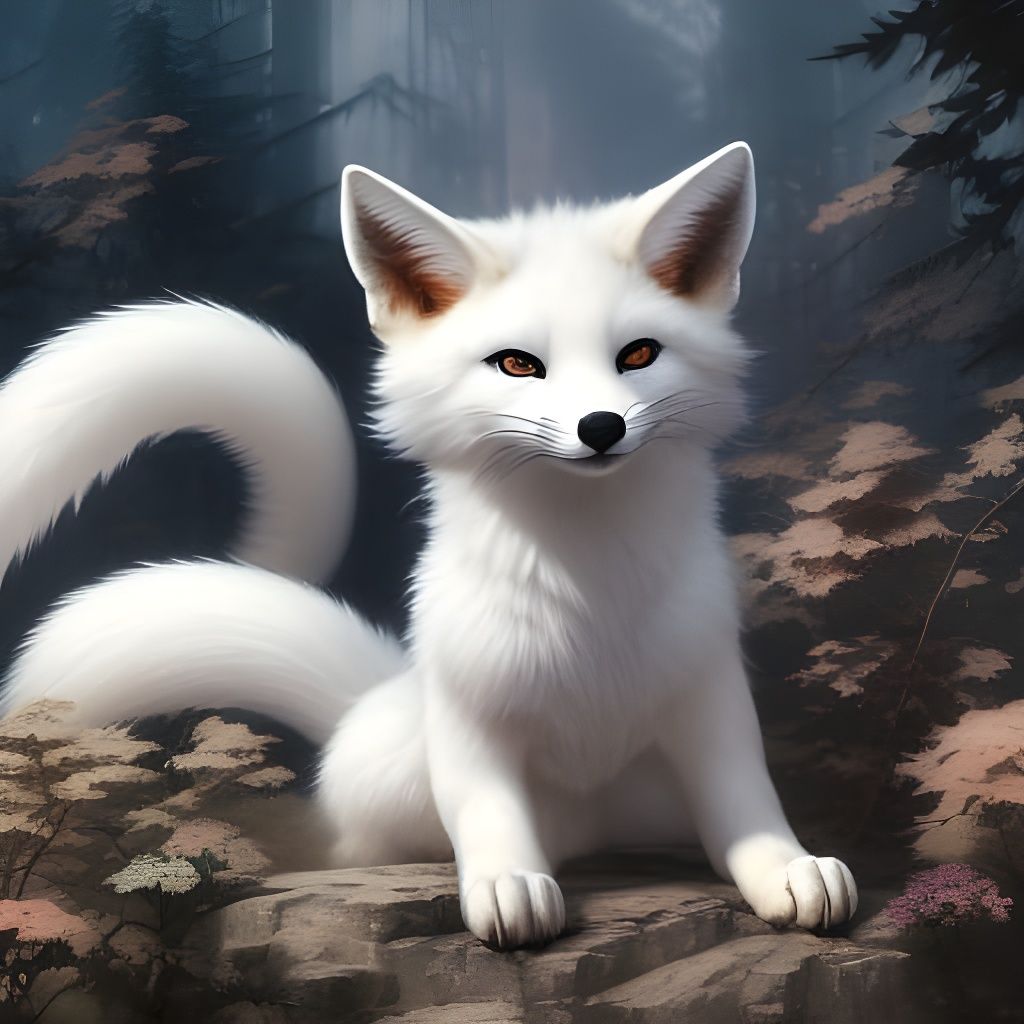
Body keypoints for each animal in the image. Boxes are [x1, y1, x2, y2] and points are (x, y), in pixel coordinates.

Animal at [0, 142, 856, 950]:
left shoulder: (709, 696)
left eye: (639, 354)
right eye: (518, 363)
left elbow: (746, 801)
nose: (601, 426)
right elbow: (485, 807)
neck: (592, 593)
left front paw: (789, 869)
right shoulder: (472, 714)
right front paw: (510, 887)